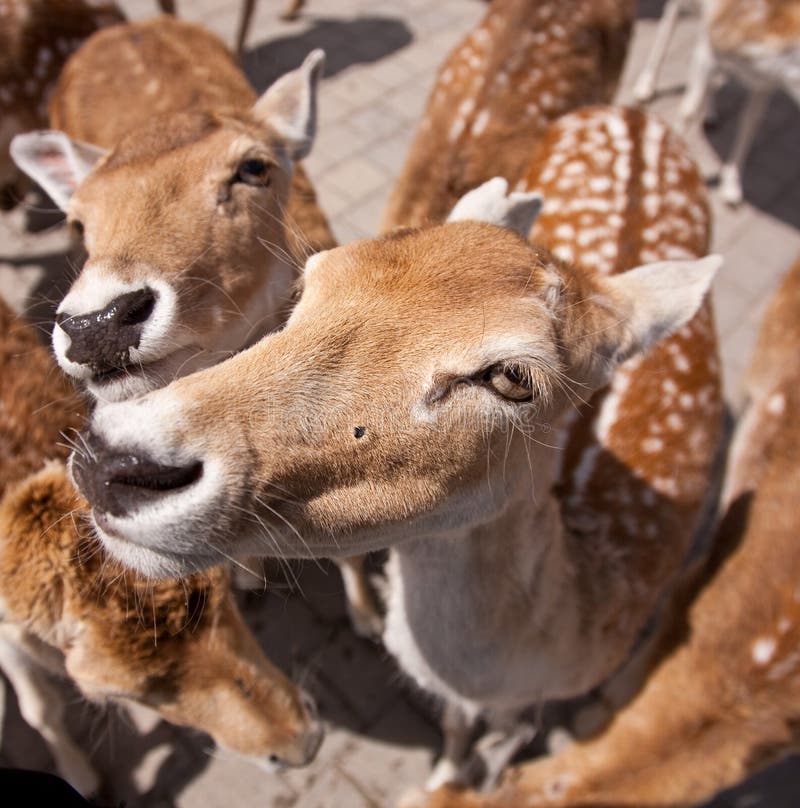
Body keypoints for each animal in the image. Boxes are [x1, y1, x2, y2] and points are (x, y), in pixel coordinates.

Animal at [66, 103, 725, 790]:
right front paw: (444, 777)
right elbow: (460, 727)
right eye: (311, 282)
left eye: (514, 377)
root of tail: (633, 113)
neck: (572, 623)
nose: (113, 461)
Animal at [634, 0, 800, 206]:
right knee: (667, 24)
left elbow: (750, 124)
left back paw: (710, 115)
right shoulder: (708, 49)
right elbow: (689, 110)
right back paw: (645, 86)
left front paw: (731, 186)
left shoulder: (764, 83)